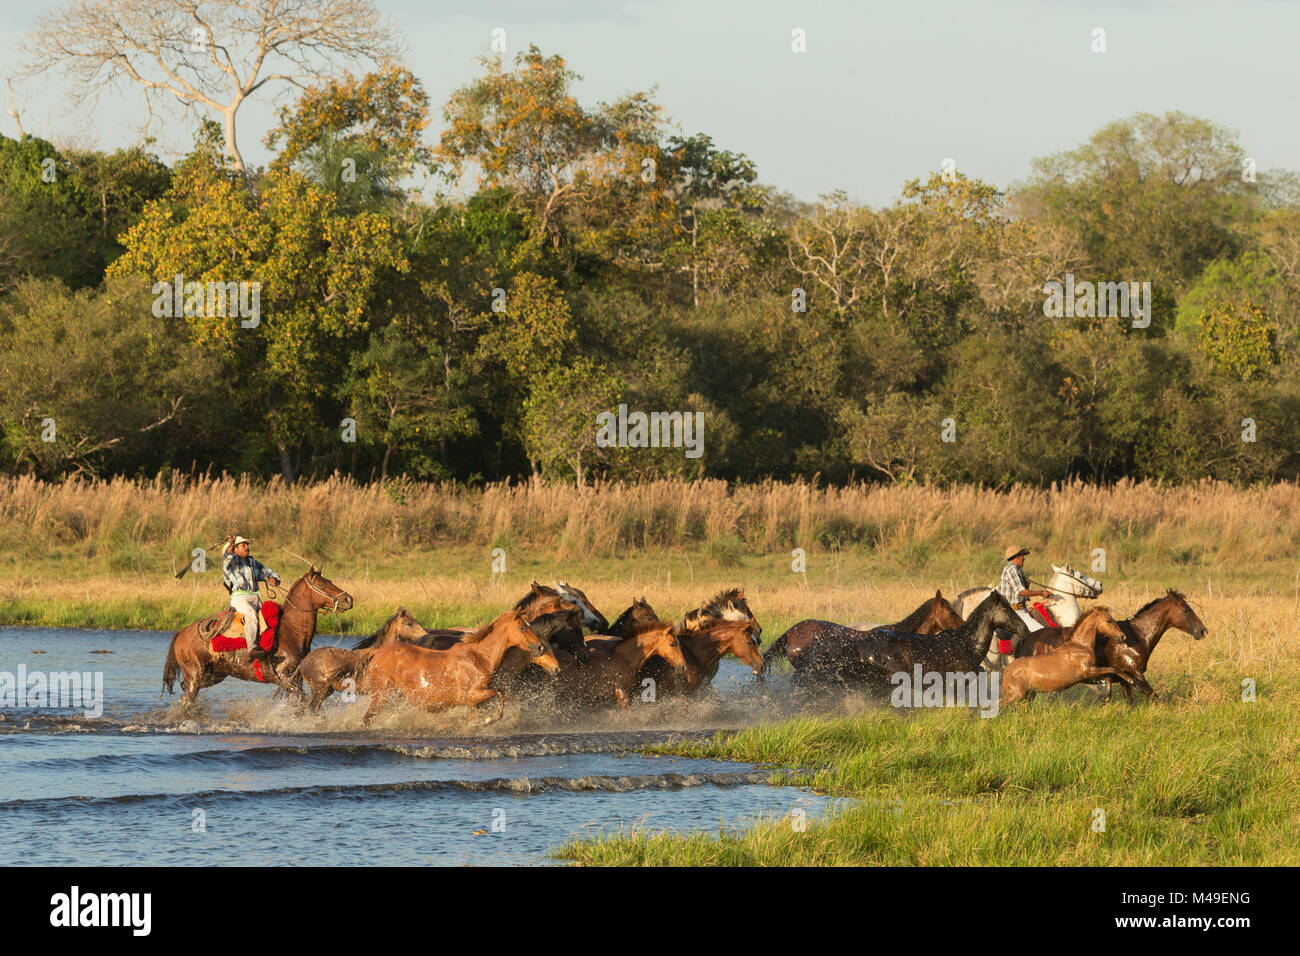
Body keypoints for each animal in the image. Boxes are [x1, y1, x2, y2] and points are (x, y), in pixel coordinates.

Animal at [162, 567, 353, 708]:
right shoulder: (284, 679)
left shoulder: (296, 680)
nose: (348, 599)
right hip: (195, 674)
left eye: (330, 581)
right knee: (186, 699)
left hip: (213, 675)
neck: (289, 633)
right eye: (321, 583)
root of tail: (181, 632)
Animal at [362, 610, 558, 725]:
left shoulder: (477, 703)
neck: (480, 658)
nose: (540, 648)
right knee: (367, 719)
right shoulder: (472, 696)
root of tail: (376, 655)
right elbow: (499, 694)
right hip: (381, 697)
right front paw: (490, 719)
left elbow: (507, 698)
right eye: (522, 627)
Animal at [998, 607, 1142, 708]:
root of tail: (1007, 671)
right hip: (1016, 694)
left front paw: (1107, 698)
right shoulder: (1088, 671)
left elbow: (1108, 676)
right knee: (998, 703)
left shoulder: (1091, 672)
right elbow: (1113, 670)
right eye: (1108, 620)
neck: (1080, 646)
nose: (1123, 636)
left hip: (1026, 694)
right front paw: (1133, 682)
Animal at [1015, 590, 1207, 702]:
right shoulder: (1134, 673)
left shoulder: (1123, 681)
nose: (1203, 631)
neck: (1136, 636)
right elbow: (1152, 694)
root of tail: (1027, 640)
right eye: (1186, 609)